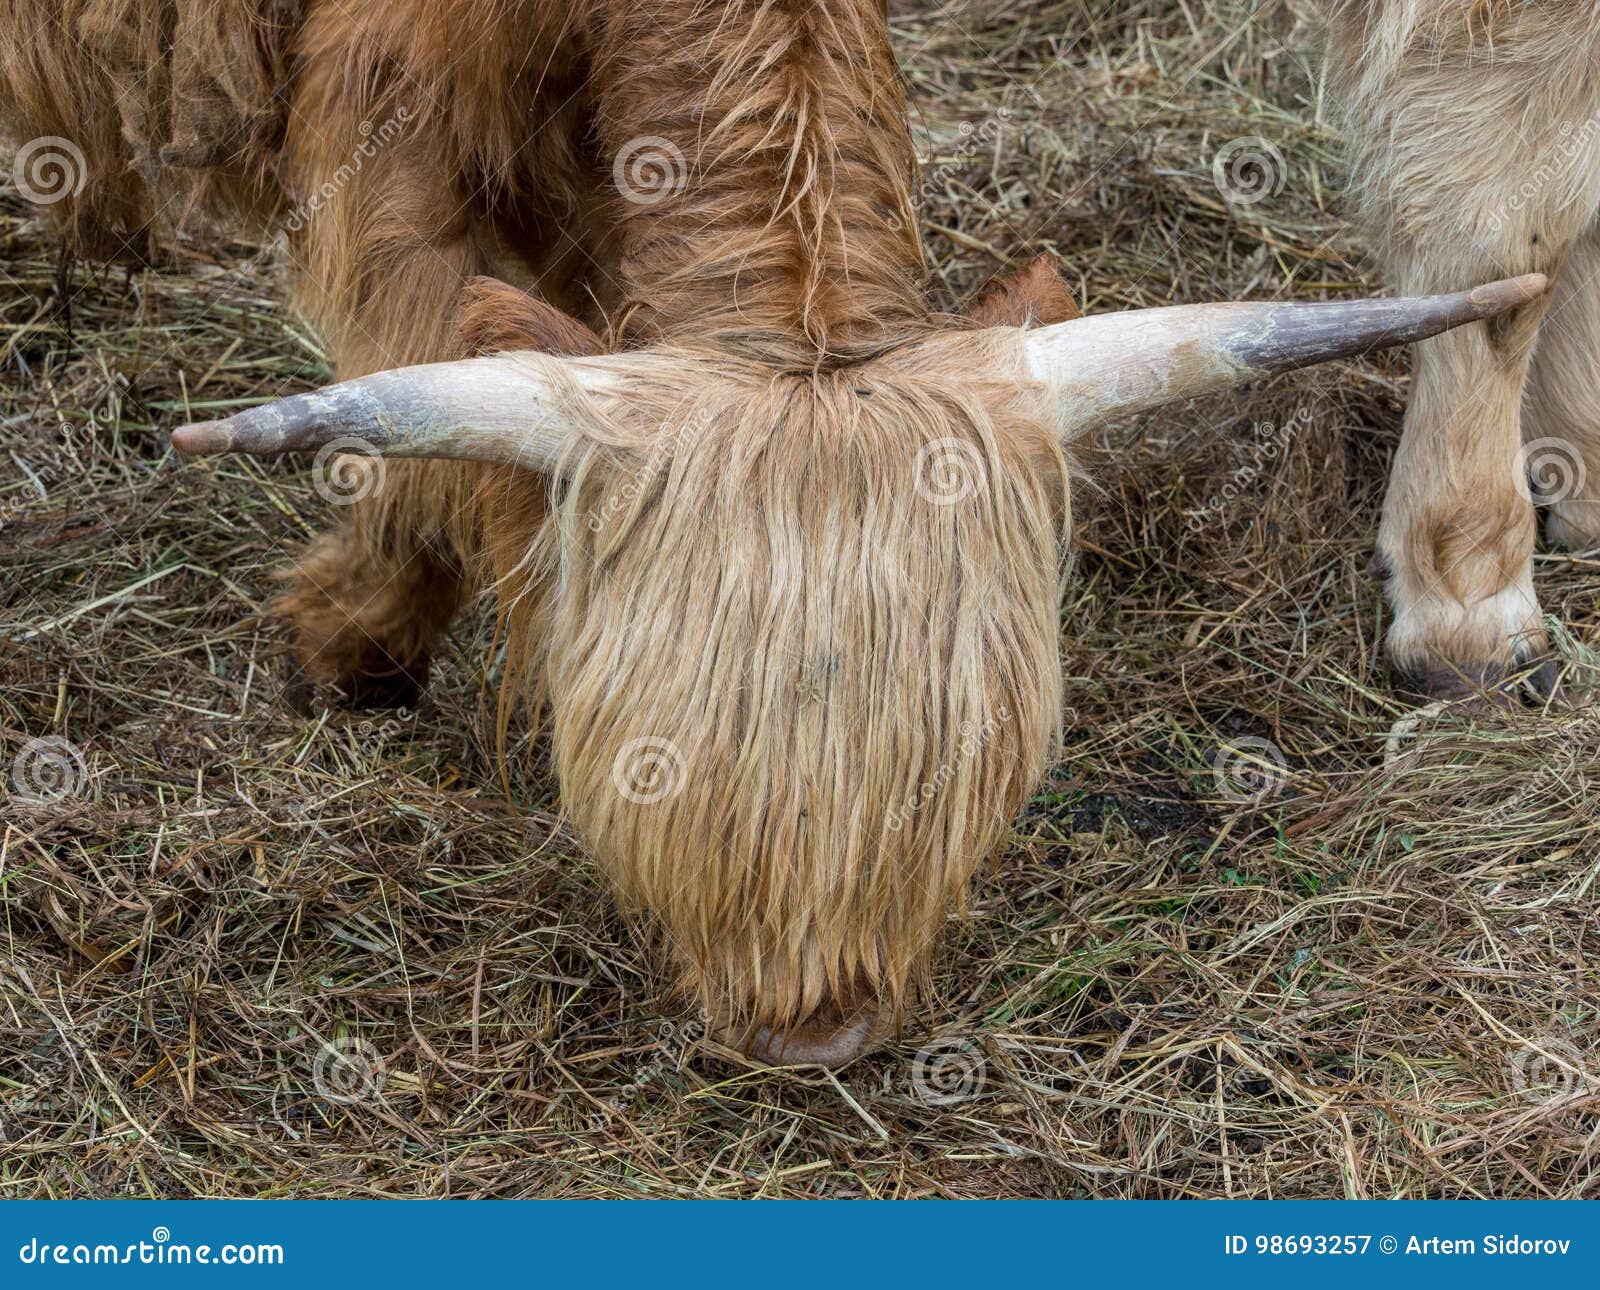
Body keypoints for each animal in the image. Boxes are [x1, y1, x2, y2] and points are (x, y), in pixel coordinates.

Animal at [0, 0, 1538, 1064]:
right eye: (654, 773)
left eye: (969, 767)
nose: (816, 1032)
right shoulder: (392, 139)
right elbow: (418, 353)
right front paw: (357, 638)